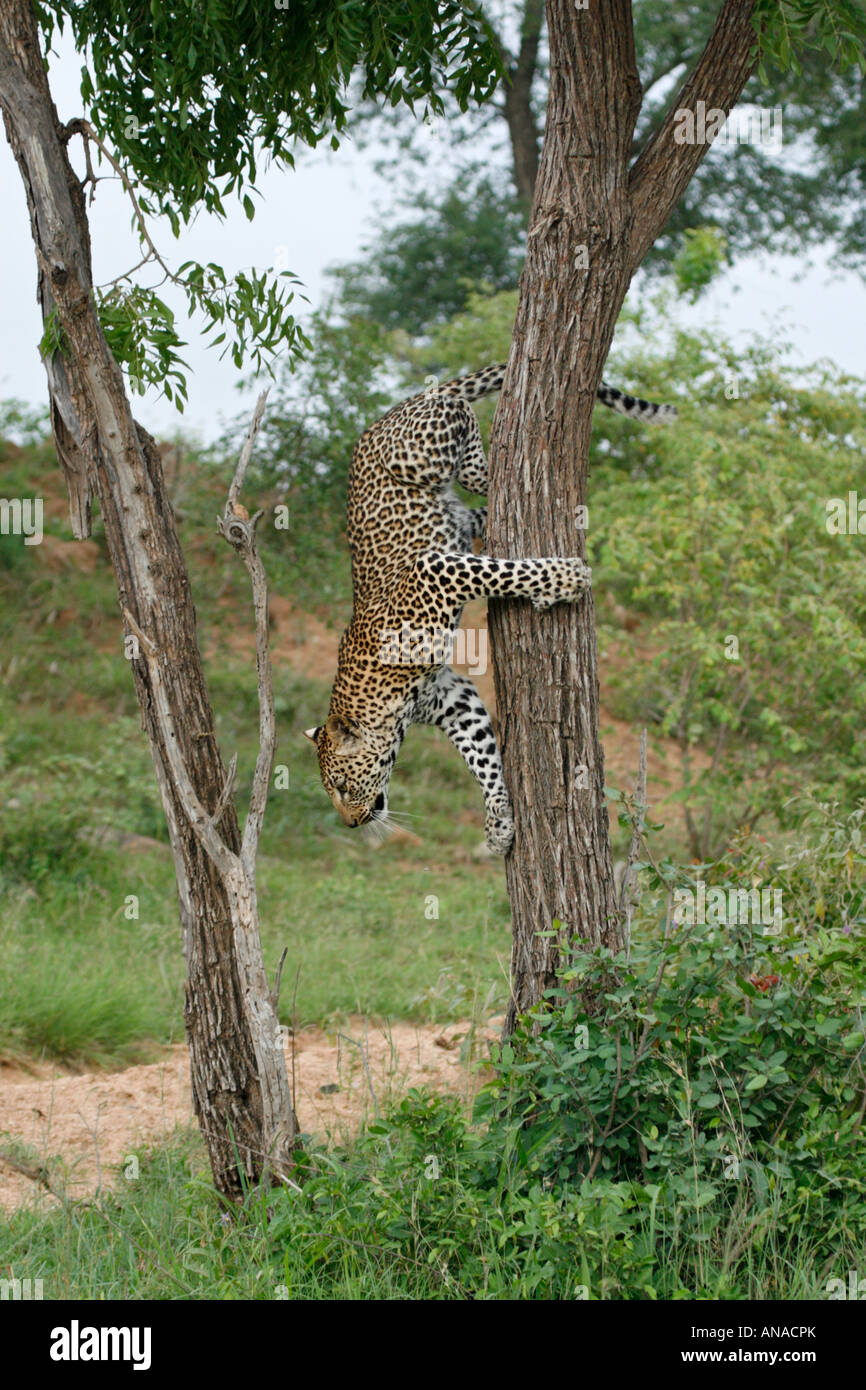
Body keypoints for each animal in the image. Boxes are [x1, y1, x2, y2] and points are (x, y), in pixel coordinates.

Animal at [304, 363, 675, 854]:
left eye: (342, 787)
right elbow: (480, 753)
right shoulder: (451, 696)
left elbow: (498, 573)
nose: (350, 824)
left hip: (419, 454)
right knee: (473, 503)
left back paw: (492, 467)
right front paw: (498, 823)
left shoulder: (432, 570)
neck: (383, 698)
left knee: (461, 415)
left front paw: (565, 579)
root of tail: (384, 416)